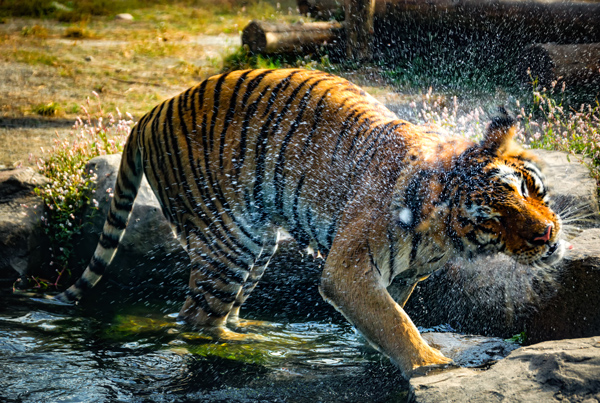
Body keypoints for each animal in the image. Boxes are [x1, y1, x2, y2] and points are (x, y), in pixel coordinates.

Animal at [56, 68, 568, 378]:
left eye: (525, 190)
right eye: (493, 220)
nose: (546, 234)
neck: (444, 240)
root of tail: (149, 112)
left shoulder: (401, 276)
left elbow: (388, 315)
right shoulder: (348, 269)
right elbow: (394, 322)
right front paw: (431, 366)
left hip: (257, 243)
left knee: (219, 310)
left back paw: (254, 331)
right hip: (229, 241)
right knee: (195, 321)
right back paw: (251, 350)